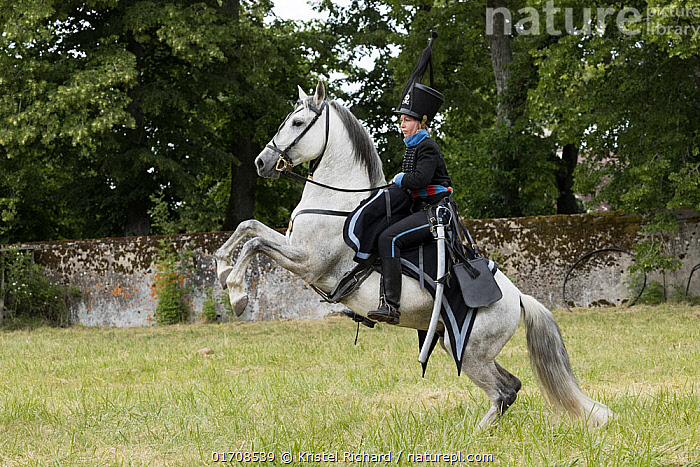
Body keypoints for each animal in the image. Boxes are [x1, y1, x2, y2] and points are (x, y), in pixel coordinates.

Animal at [215, 81, 612, 429]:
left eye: (297, 123)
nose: (261, 162)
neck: (338, 203)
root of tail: (519, 298)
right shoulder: (293, 247)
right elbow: (248, 227)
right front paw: (220, 267)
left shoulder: (308, 262)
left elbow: (254, 243)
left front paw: (237, 293)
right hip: (464, 349)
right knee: (510, 387)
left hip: (468, 352)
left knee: (503, 391)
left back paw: (473, 434)